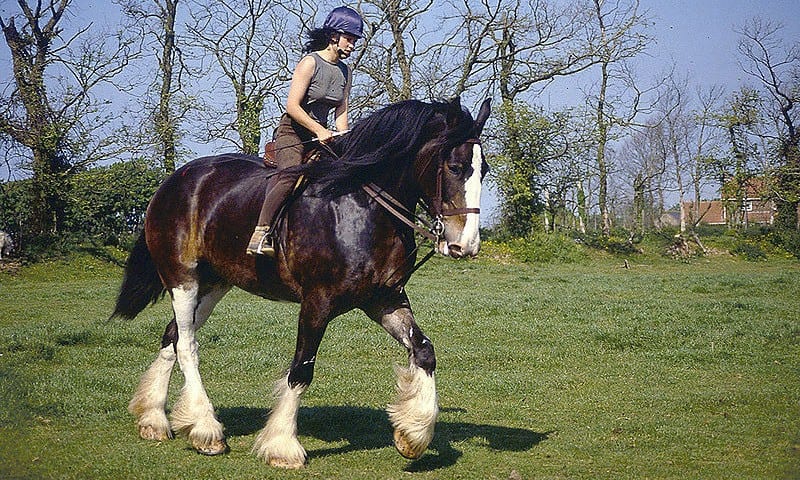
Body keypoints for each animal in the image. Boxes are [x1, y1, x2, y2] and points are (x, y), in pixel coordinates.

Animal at [111, 97, 491, 469]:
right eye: (455, 167)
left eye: (484, 170)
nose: (466, 245)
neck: (362, 208)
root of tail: (174, 181)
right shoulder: (317, 302)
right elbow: (301, 370)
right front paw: (282, 446)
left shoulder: (384, 300)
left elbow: (424, 350)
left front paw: (412, 435)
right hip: (183, 279)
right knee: (188, 346)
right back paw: (206, 429)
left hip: (213, 285)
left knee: (172, 337)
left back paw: (154, 419)